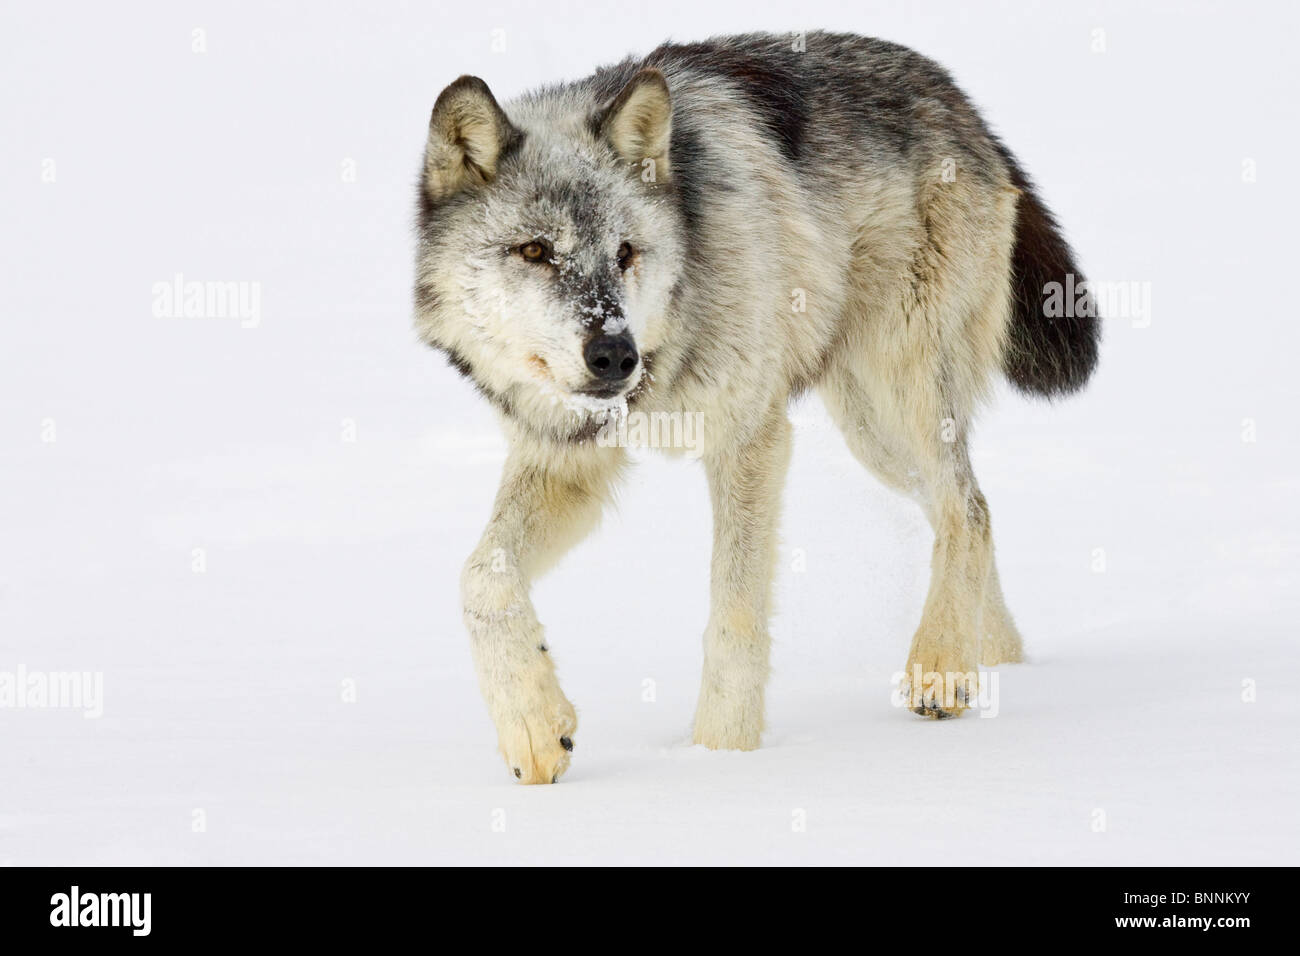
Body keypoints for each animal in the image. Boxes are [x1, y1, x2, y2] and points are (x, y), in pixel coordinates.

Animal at [413, 31, 1099, 783]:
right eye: (535, 251)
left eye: (625, 253)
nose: (615, 355)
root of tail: (958, 100)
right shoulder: (567, 460)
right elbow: (480, 578)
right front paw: (536, 731)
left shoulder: (749, 441)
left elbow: (735, 616)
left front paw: (723, 762)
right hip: (874, 436)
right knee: (973, 510)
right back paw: (1000, 660)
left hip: (900, 393)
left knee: (966, 509)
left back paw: (942, 668)